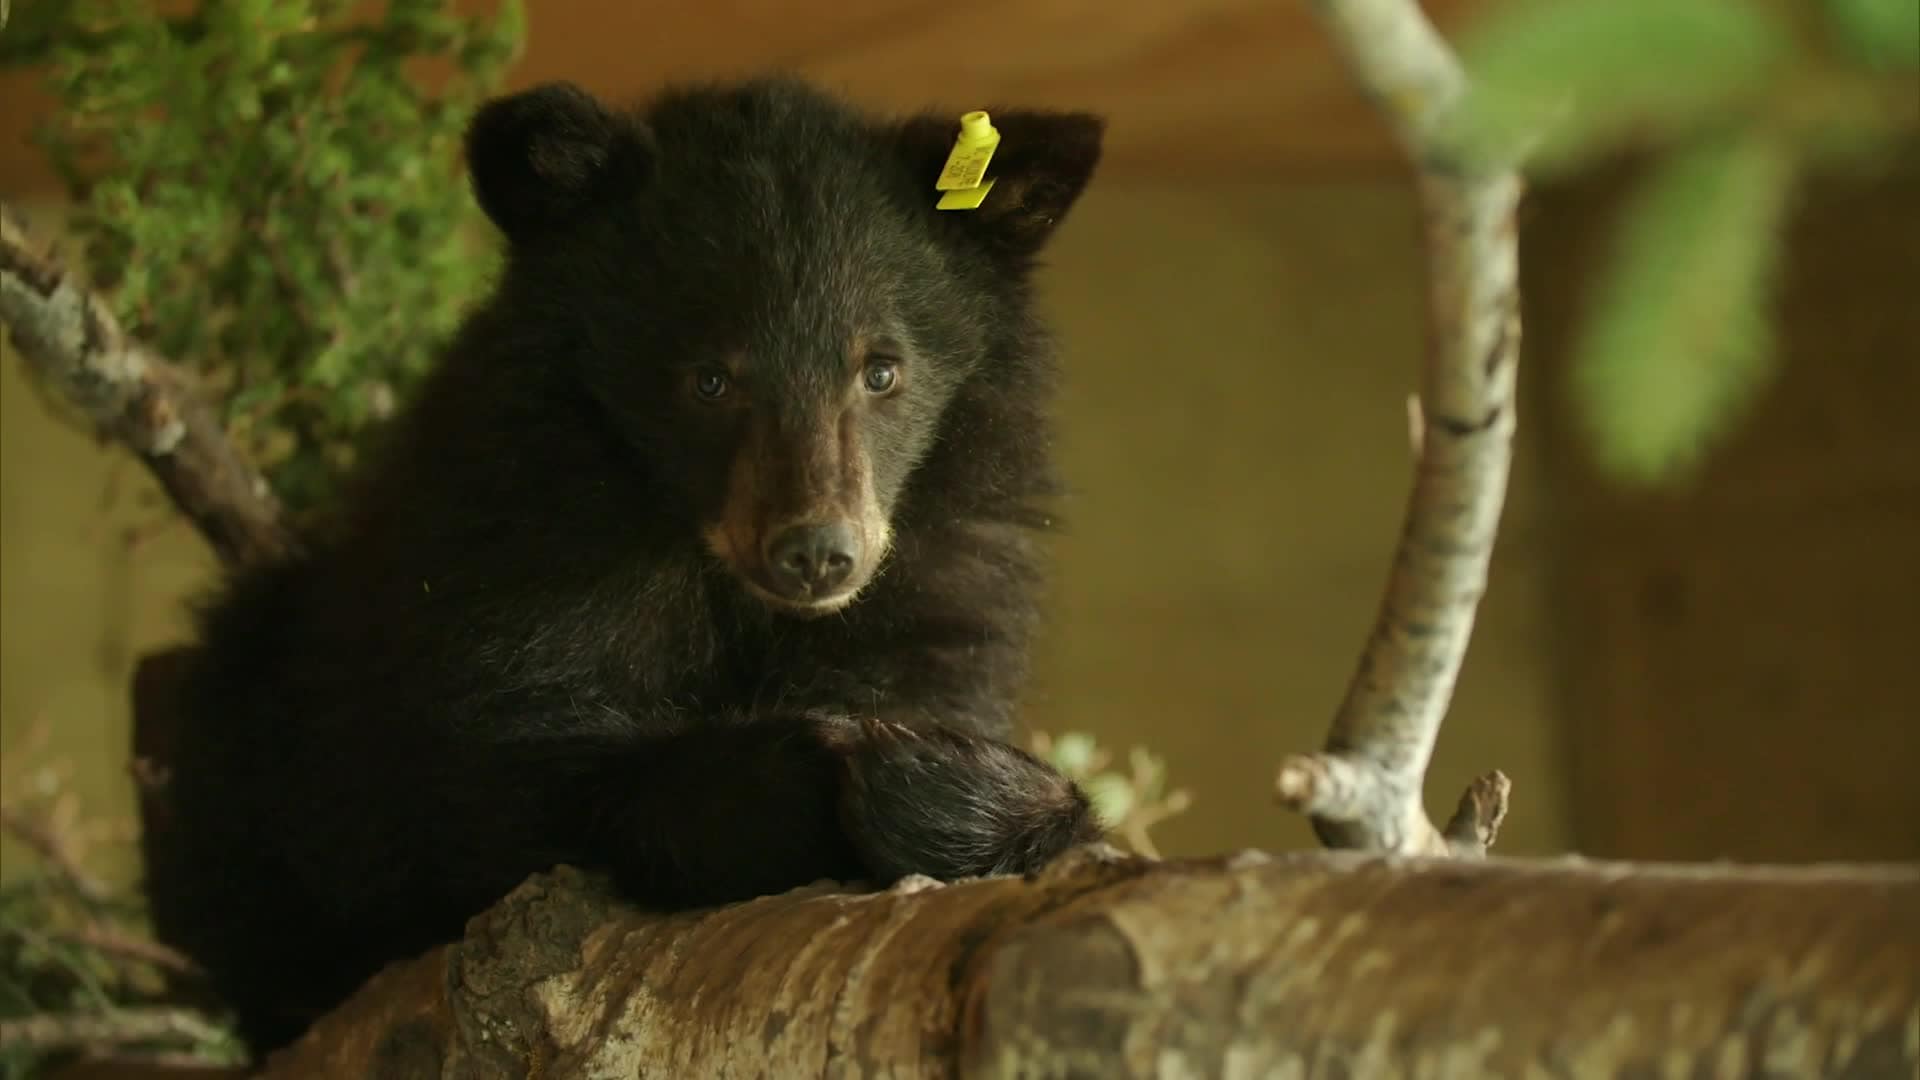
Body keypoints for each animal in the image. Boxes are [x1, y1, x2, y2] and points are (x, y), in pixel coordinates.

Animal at [138, 74, 1109, 1056]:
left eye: (881, 370)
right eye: (710, 378)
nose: (814, 552)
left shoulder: (939, 587)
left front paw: (943, 784)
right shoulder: (509, 573)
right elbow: (496, 791)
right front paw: (810, 763)